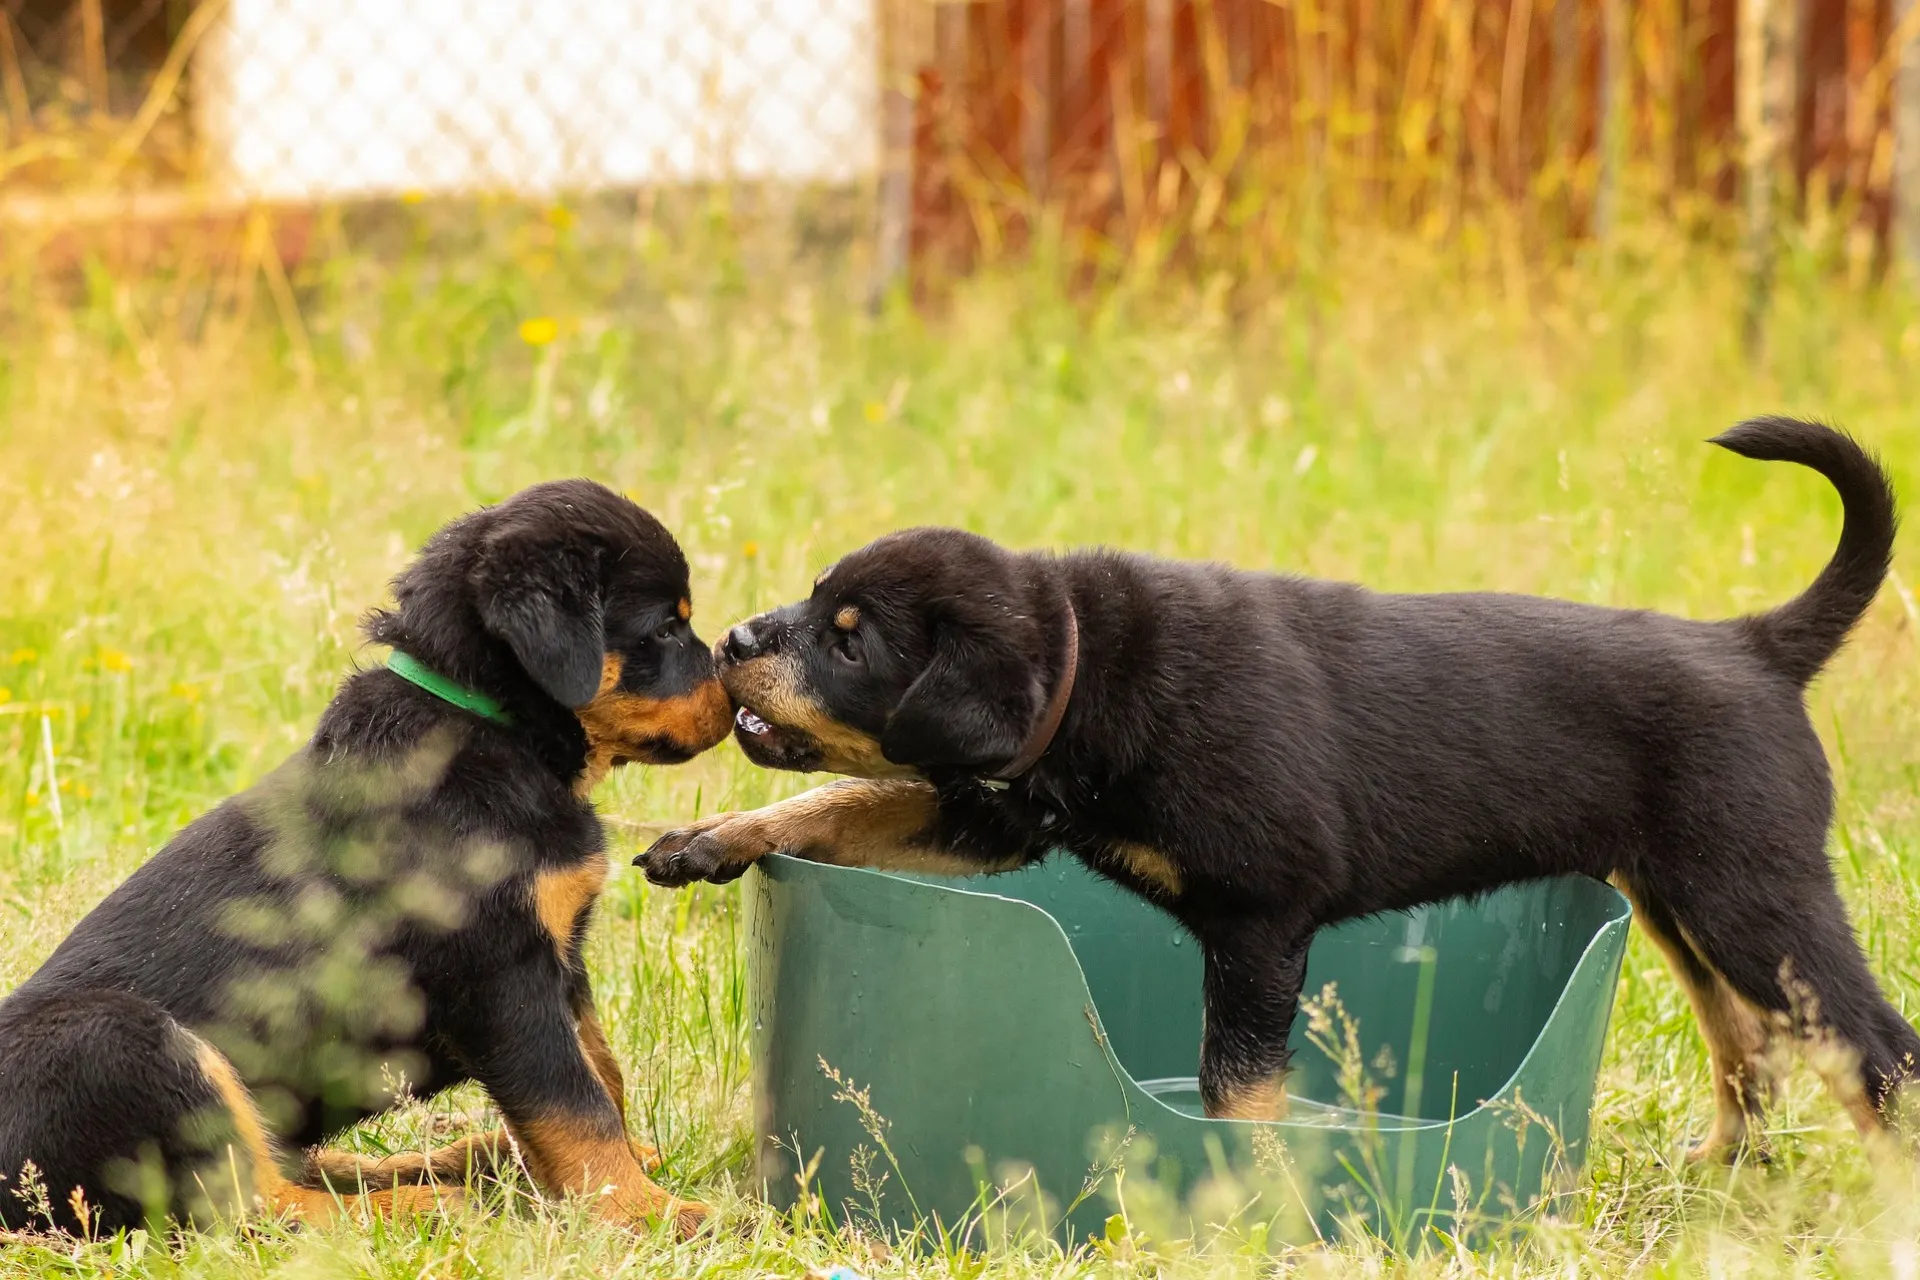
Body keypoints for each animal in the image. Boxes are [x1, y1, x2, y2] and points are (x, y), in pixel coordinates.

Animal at [0, 477, 733, 1228]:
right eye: (666, 627)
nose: (734, 678)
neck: (483, 723)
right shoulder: (500, 973)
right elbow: (575, 1102)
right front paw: (654, 1212)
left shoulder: (562, 954)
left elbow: (601, 1070)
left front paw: (614, 1179)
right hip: (123, 1039)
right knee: (253, 1205)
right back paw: (432, 1199)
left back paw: (469, 1159)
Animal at [648, 420, 1920, 1159]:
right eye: (817, 601)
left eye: (851, 640)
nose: (736, 638)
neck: (1091, 667)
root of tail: (1756, 644)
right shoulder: (988, 812)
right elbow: (837, 808)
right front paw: (709, 838)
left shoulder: (1263, 921)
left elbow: (1239, 1085)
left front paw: (1240, 1198)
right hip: (1679, 899)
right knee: (1752, 1042)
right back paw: (1718, 1166)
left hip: (1751, 893)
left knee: (1873, 1045)